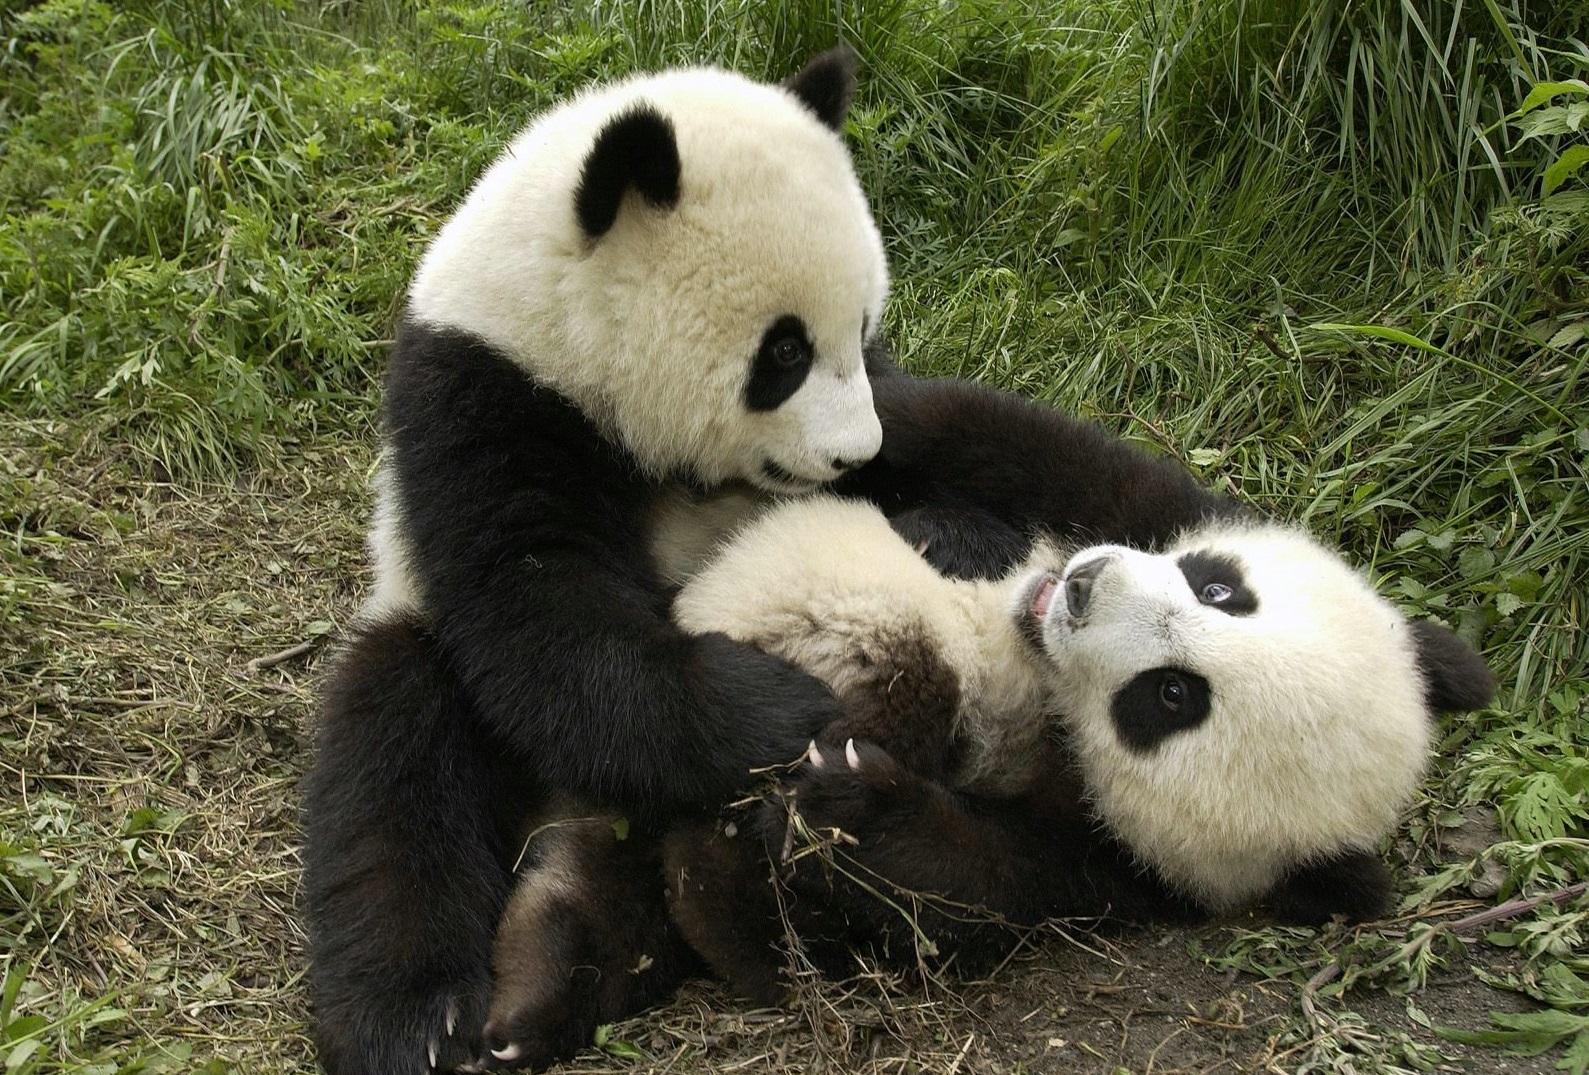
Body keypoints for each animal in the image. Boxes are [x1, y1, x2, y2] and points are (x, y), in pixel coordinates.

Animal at [300, 48, 896, 1075]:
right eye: (781, 351)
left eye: (860, 331)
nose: (854, 455)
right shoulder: (484, 402)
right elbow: (537, 610)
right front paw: (777, 704)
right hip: (413, 645)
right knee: (392, 771)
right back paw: (421, 1017)